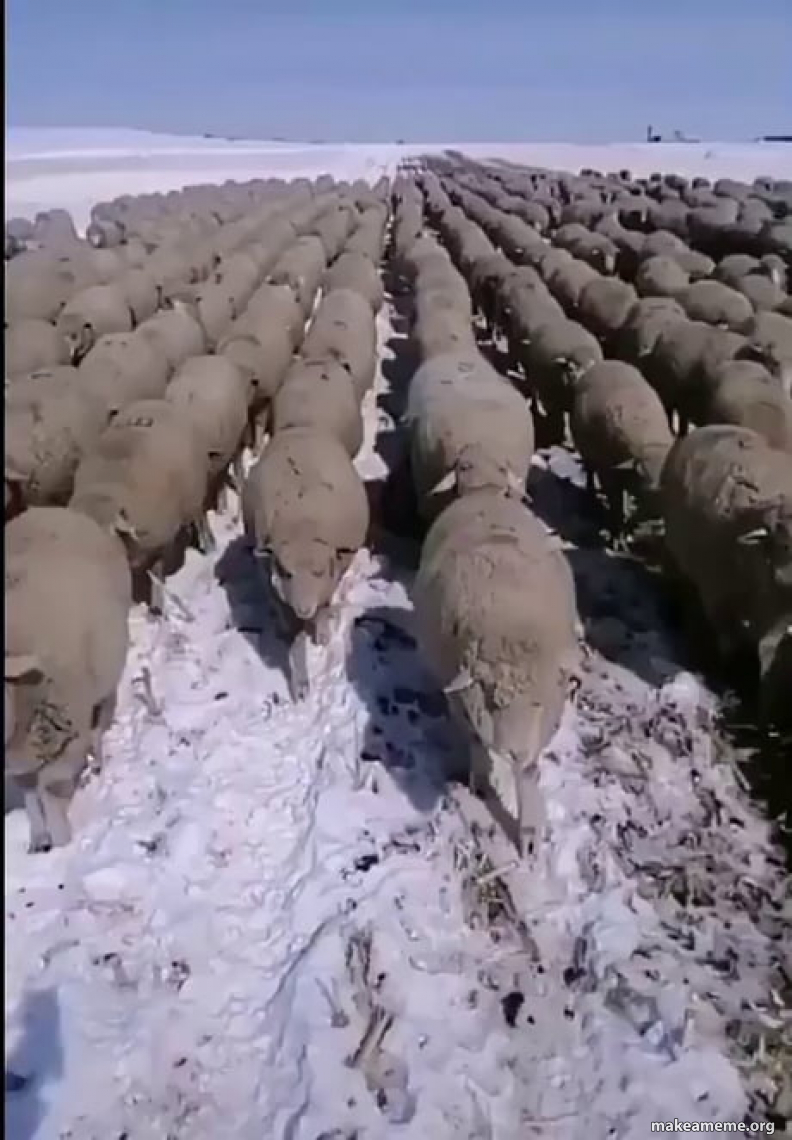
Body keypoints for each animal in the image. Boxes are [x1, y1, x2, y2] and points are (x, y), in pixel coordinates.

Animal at [5, 506, 132, 851]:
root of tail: (49, 509)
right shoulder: (18, 758)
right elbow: (29, 792)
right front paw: (39, 839)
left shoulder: (68, 735)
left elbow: (51, 791)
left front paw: (62, 842)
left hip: (104, 678)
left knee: (100, 722)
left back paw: (99, 761)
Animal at [70, 400, 212, 610]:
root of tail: (156, 402)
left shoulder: (160, 541)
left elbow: (158, 576)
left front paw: (157, 607)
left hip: (194, 495)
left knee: (200, 520)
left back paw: (210, 546)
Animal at [242, 426, 369, 701]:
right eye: (286, 573)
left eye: (319, 571)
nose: (303, 608)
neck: (302, 526)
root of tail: (302, 427)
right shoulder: (275, 589)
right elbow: (295, 640)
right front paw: (300, 683)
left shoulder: (330, 578)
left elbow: (322, 609)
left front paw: (321, 634)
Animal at [413, 490, 579, 855]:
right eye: (492, 700)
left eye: (537, 703)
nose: (514, 750)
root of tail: (485, 491)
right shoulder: (462, 700)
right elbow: (476, 740)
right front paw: (480, 784)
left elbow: (528, 773)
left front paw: (529, 834)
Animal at [570, 360, 675, 536]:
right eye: (649, 488)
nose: (657, 523)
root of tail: (601, 363)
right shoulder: (608, 471)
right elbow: (615, 502)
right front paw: (618, 534)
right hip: (585, 448)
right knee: (590, 470)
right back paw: (591, 499)